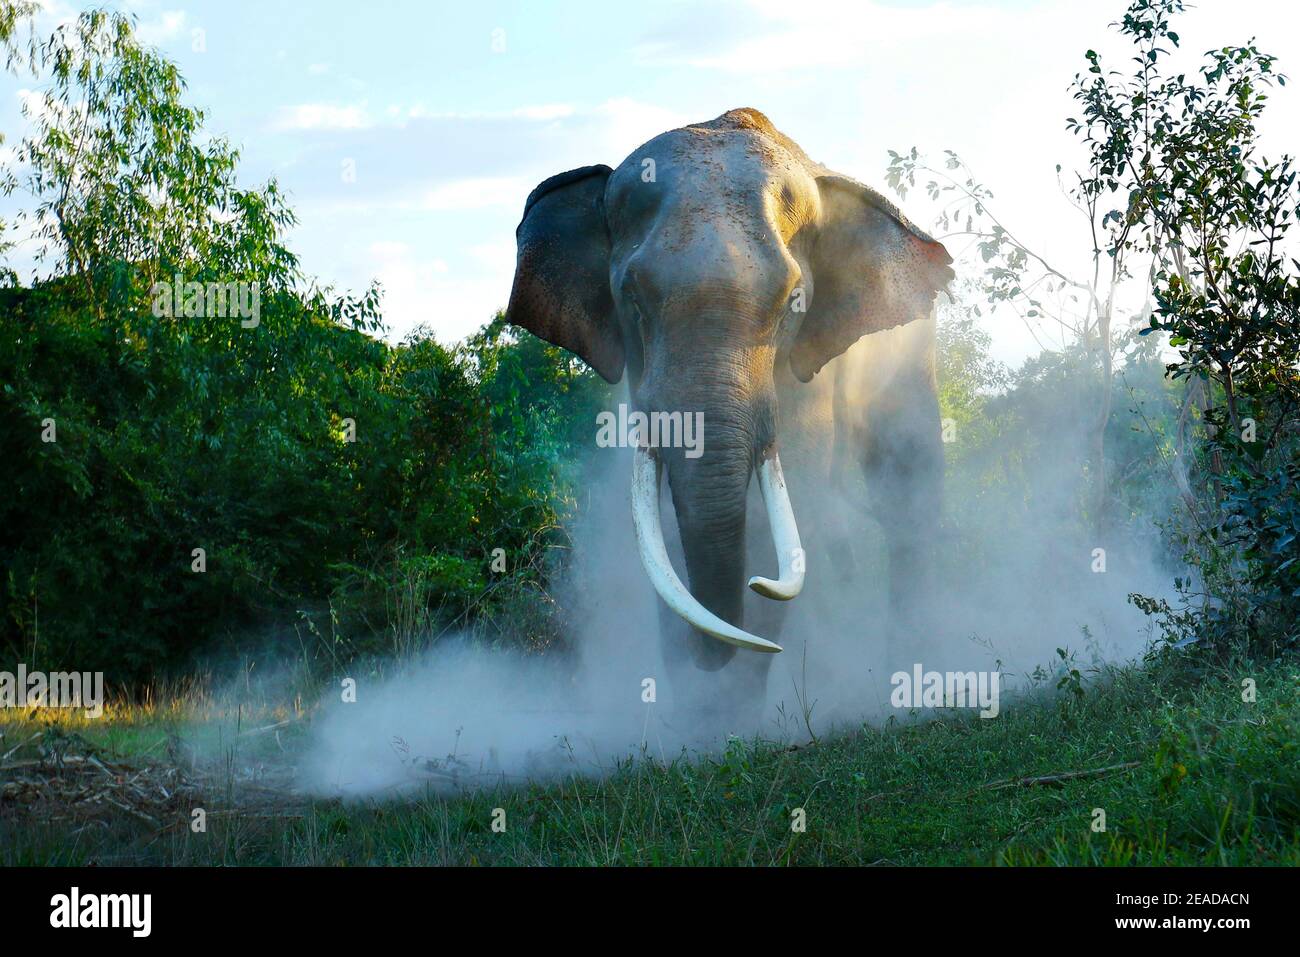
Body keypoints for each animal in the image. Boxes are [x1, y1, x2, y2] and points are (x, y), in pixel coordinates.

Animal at [505, 108, 953, 718]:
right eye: (633, 299)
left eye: (792, 304)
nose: (709, 658)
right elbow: (664, 530)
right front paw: (697, 715)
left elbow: (770, 522)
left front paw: (731, 713)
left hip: (910, 353)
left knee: (905, 486)